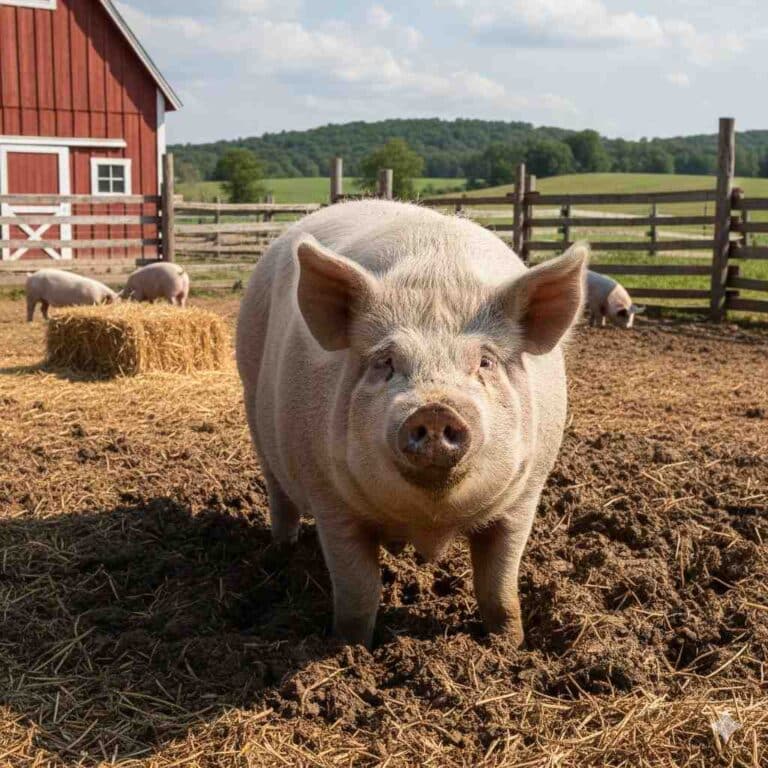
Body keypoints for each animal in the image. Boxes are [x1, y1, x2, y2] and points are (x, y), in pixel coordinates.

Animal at [236, 200, 588, 648]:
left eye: (485, 362)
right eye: (386, 362)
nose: (435, 410)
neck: (429, 522)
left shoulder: (525, 495)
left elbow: (499, 584)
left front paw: (510, 646)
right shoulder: (330, 500)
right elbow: (358, 589)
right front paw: (350, 647)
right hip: (252, 403)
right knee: (279, 496)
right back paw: (282, 551)